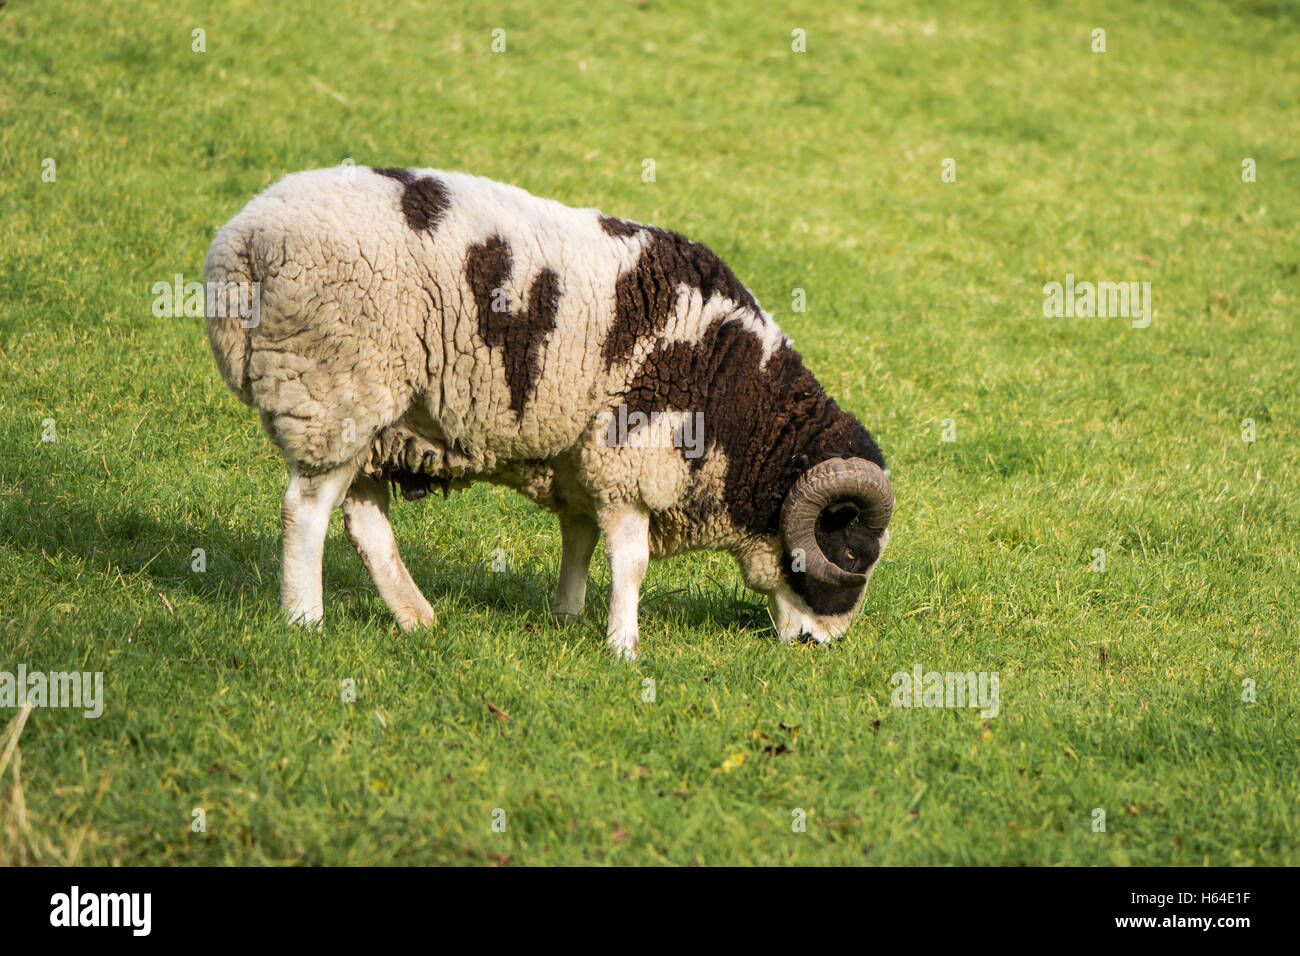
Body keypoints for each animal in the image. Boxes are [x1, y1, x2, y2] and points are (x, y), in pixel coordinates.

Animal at [204, 166, 893, 659]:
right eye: (852, 552)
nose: (823, 646)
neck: (737, 393)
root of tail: (240, 246)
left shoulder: (581, 459)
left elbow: (580, 538)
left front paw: (567, 616)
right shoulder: (630, 455)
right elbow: (631, 560)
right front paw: (624, 647)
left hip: (372, 419)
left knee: (364, 519)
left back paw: (416, 618)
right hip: (333, 389)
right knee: (305, 510)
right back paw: (306, 620)